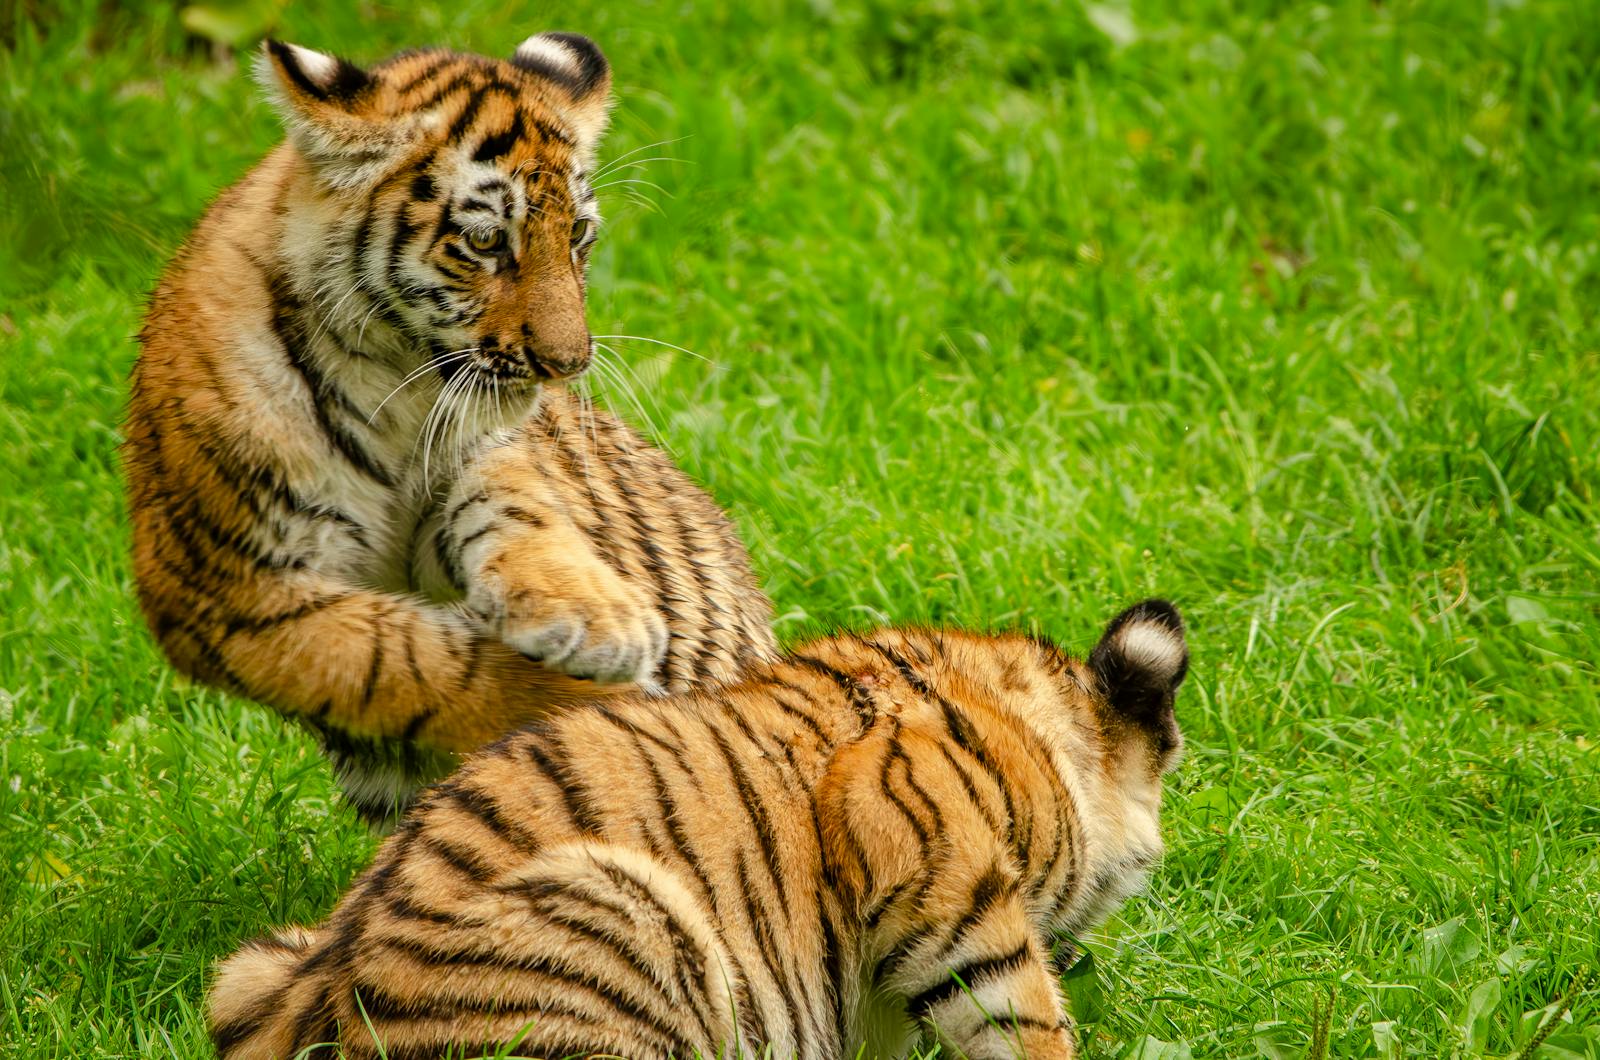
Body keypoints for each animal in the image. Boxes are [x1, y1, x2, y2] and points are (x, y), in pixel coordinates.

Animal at [122, 34, 777, 824]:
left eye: (578, 233)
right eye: (487, 241)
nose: (567, 363)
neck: (391, 378)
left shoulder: (478, 448)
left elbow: (517, 507)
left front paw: (597, 617)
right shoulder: (224, 590)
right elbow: (399, 660)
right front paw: (582, 702)